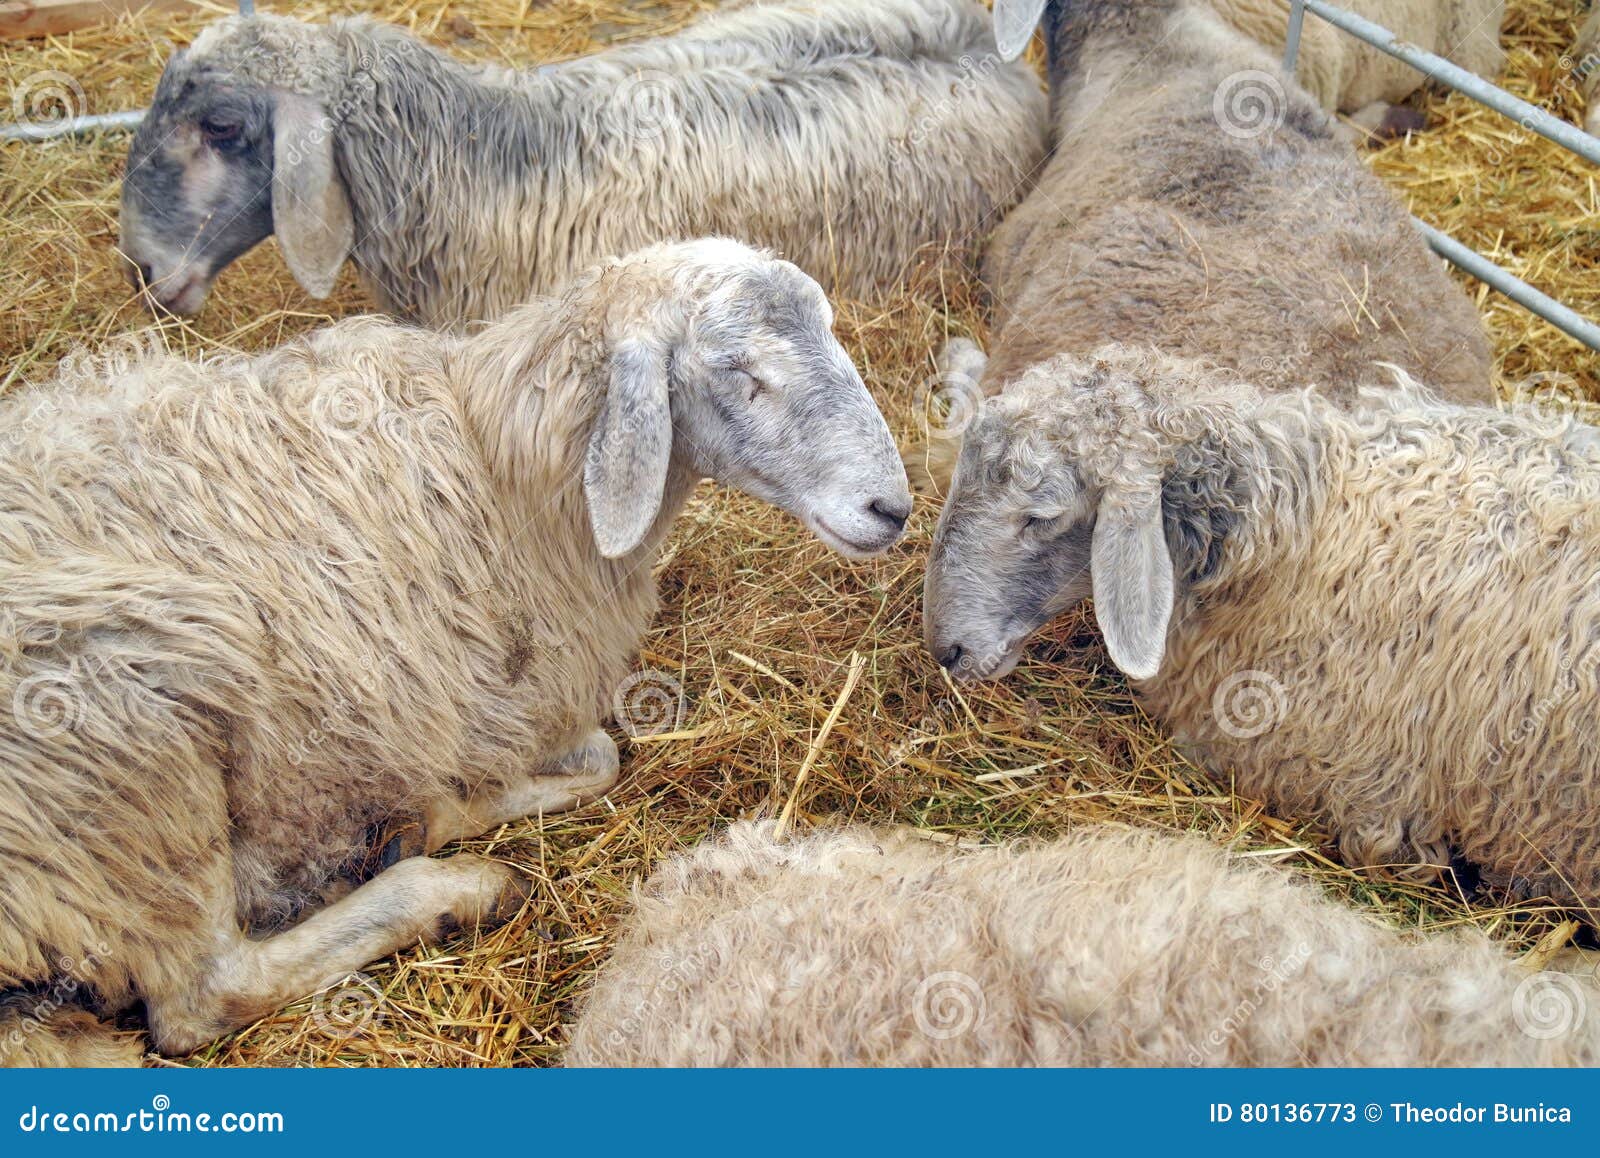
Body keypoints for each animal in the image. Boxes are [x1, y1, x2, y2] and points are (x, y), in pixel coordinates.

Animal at [0, 237, 913, 1062]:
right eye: (735, 367)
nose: (894, 508)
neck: (492, 459)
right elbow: (599, 758)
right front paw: (429, 823)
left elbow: (595, 758)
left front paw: (419, 821)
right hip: (130, 720)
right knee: (200, 996)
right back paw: (452, 890)